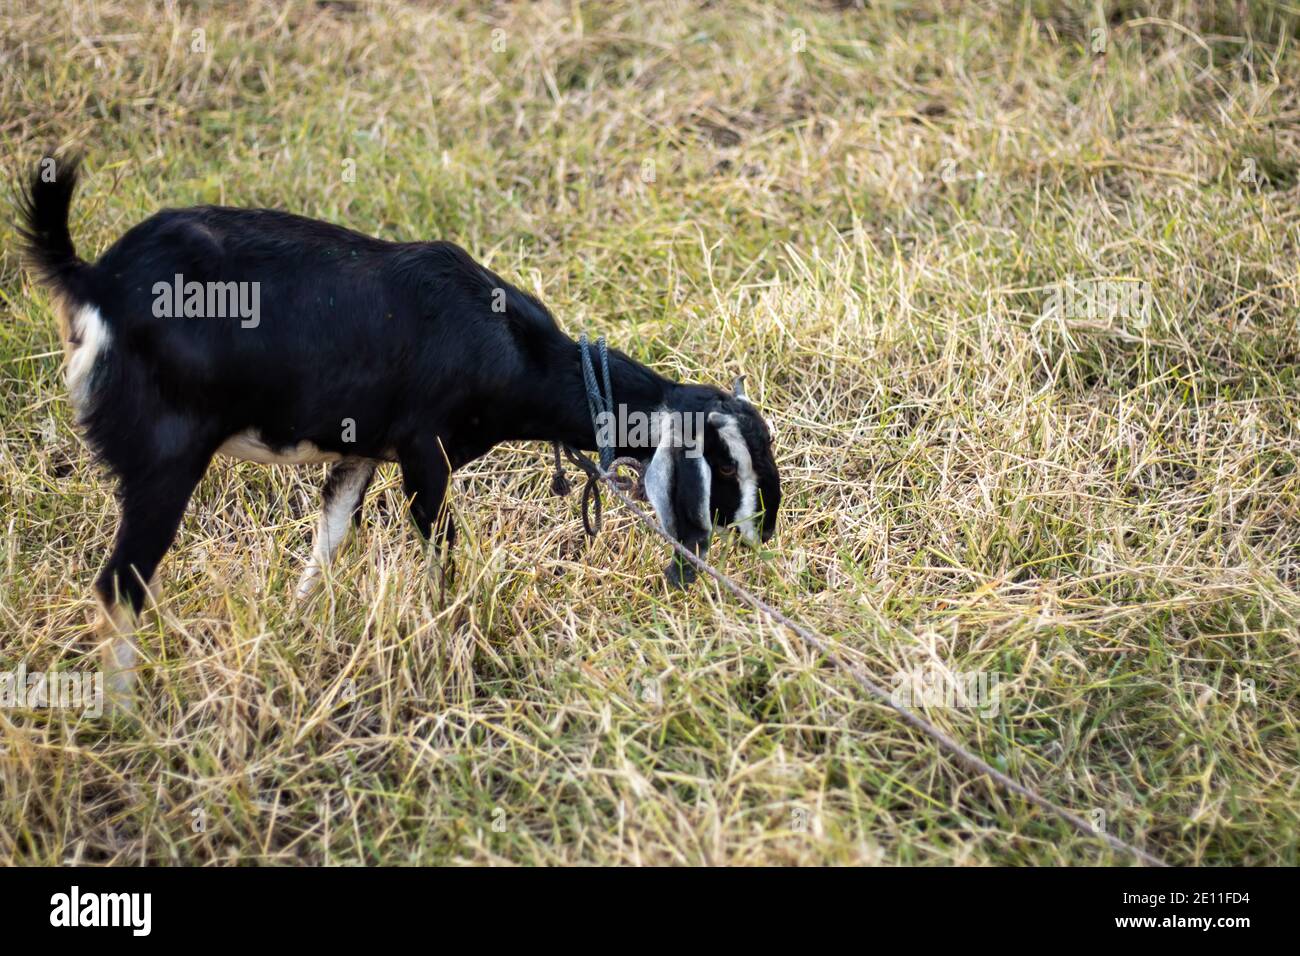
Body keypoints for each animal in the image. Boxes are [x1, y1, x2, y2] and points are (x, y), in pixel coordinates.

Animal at [16, 155, 782, 701]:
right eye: (726, 462)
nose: (766, 528)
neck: (514, 345)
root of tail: (96, 283)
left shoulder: (362, 452)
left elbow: (327, 541)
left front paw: (297, 631)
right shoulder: (423, 453)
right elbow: (442, 553)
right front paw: (458, 640)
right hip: (165, 459)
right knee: (119, 585)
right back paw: (126, 719)